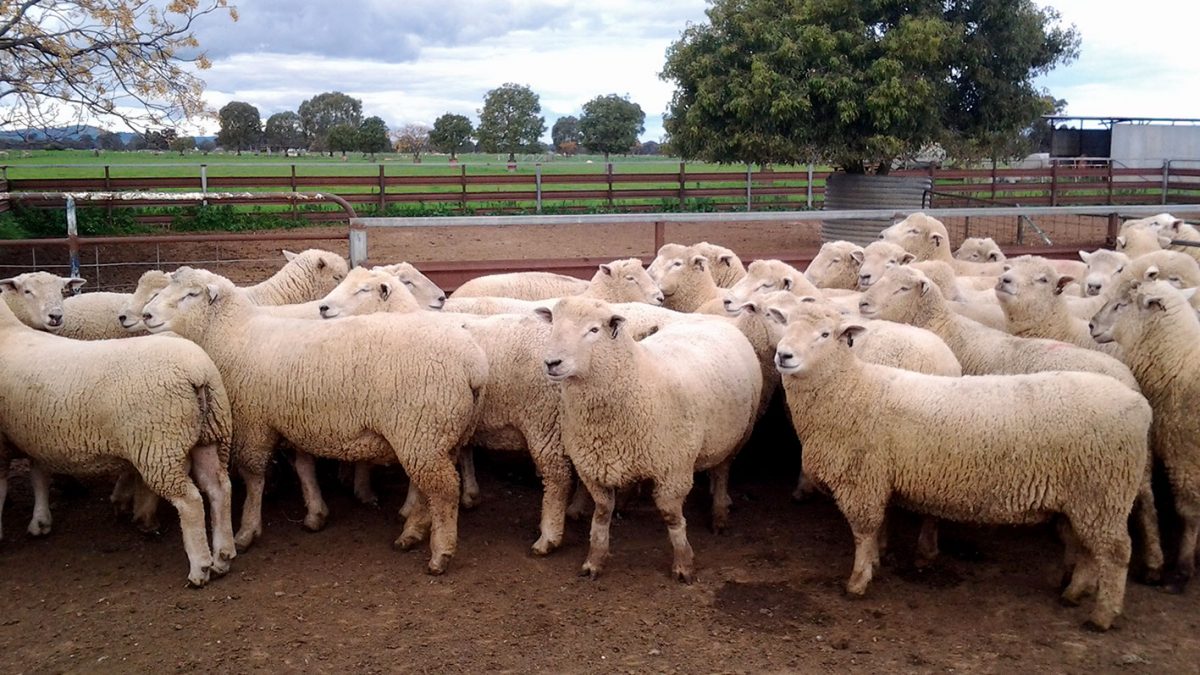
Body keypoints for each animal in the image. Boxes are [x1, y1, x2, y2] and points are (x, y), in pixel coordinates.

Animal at [0, 299, 237, 587]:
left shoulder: (6, 440)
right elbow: (39, 476)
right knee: (219, 489)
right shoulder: (36, 436)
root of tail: (197, 372)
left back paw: (200, 568)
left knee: (189, 501)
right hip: (208, 435)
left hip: (161, 445)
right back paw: (223, 557)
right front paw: (40, 521)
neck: (7, 331)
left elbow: (4, 486)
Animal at [141, 267, 488, 575]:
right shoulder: (299, 420)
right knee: (432, 483)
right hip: (436, 434)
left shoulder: (254, 422)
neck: (234, 333)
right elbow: (304, 466)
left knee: (443, 491)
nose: (146, 315)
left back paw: (439, 553)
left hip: (421, 431)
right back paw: (413, 531)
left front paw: (247, 531)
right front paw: (315, 514)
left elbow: (254, 477)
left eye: (190, 294)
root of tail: (472, 367)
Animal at [537, 296, 762, 581]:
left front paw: (683, 565)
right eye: (553, 325)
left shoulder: (674, 468)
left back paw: (719, 515)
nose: (551, 363)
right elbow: (601, 514)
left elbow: (671, 516)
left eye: (594, 330)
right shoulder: (593, 467)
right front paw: (594, 561)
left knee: (722, 472)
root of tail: (713, 319)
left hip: (736, 435)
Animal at [773, 309, 1152, 631]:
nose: (783, 355)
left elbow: (863, 531)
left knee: (1116, 552)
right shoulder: (878, 479)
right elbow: (879, 525)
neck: (850, 390)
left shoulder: (861, 479)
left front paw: (858, 580)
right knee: (1090, 549)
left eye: (824, 334)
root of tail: (1140, 405)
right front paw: (878, 560)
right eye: (785, 324)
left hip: (1104, 491)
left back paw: (1102, 615)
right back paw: (1074, 592)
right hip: (1088, 497)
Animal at [1090, 281, 1200, 593]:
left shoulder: (1185, 453)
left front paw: (1182, 570)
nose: (1091, 325)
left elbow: (1189, 511)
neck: (1178, 359)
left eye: (1121, 305)